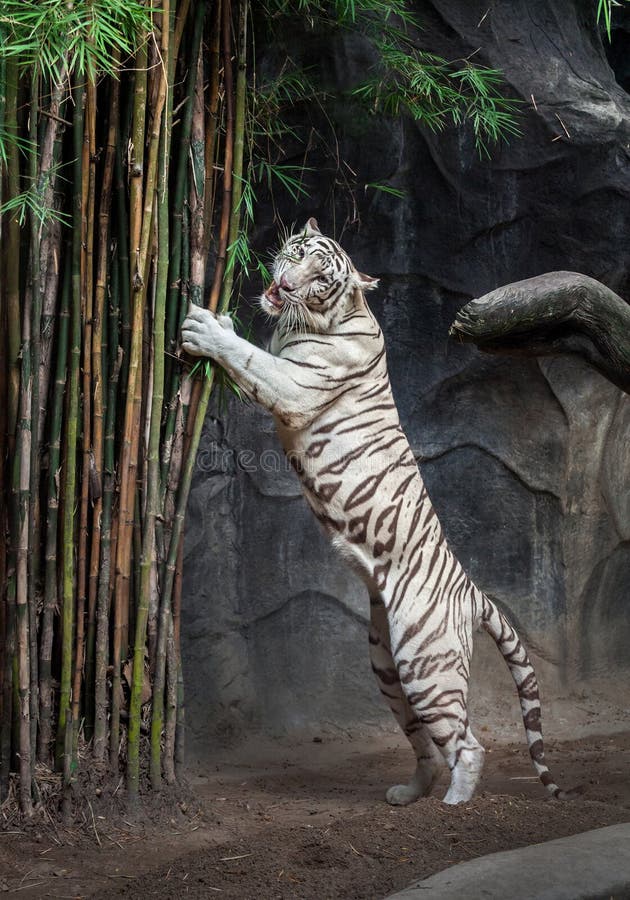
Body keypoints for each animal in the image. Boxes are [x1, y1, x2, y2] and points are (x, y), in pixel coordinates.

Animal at [181, 218, 576, 805]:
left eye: (320, 280)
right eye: (297, 253)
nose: (288, 285)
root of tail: (473, 591)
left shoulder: (293, 384)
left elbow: (248, 357)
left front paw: (205, 328)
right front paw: (224, 315)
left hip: (423, 662)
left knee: (467, 742)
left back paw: (455, 801)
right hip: (385, 663)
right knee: (425, 741)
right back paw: (408, 793)